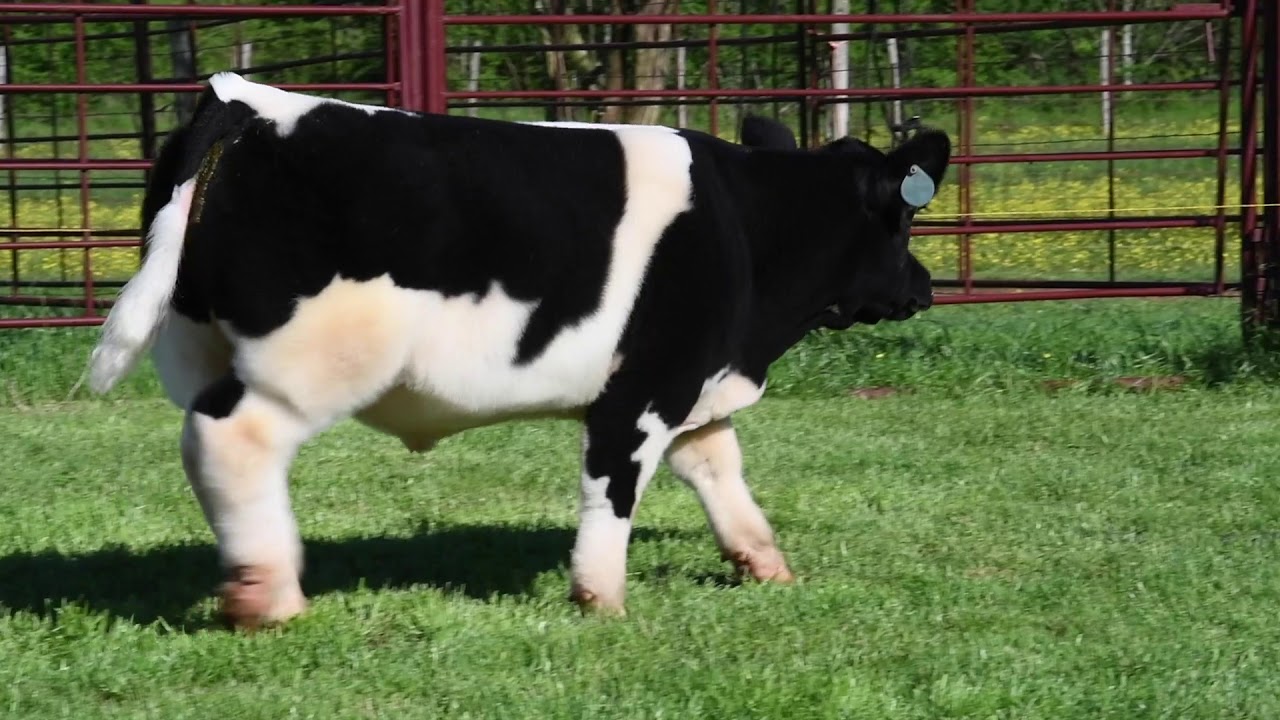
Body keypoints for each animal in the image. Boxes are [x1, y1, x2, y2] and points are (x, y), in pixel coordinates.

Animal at [86, 72, 950, 630]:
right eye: (905, 218)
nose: (924, 285)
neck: (749, 228)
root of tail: (245, 99)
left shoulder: (697, 385)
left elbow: (720, 473)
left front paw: (765, 565)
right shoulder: (641, 391)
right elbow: (613, 492)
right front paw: (600, 601)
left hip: (204, 343)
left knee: (205, 442)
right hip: (301, 365)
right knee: (233, 439)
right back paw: (267, 598)